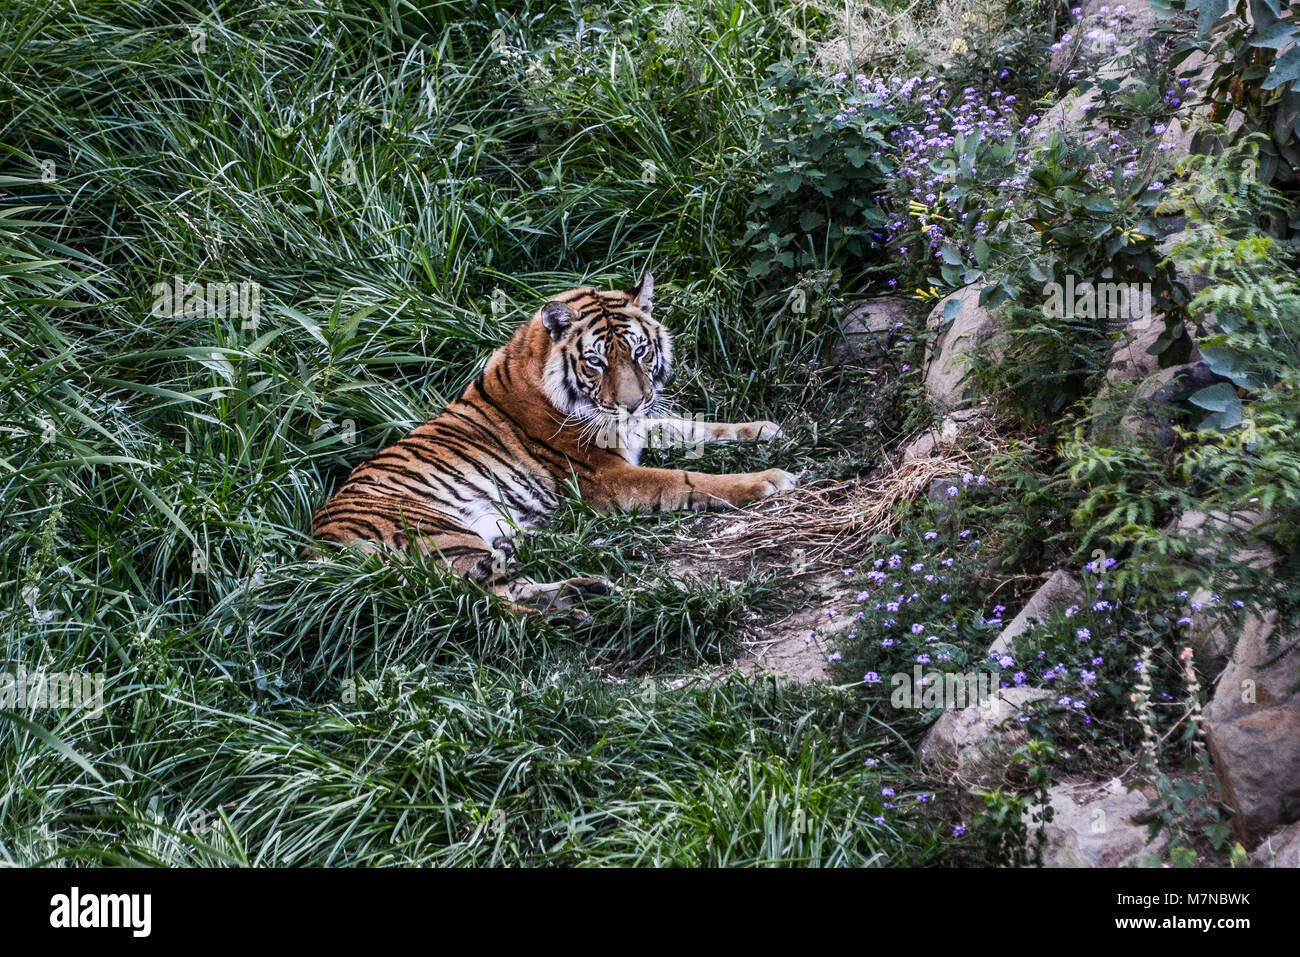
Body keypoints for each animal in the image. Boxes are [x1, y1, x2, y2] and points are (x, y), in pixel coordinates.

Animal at [309, 273, 798, 611]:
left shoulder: (635, 430)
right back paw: (570, 610)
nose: (633, 403)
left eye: (639, 351)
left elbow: (693, 427)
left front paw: (762, 428)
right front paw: (769, 479)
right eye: (597, 361)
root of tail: (316, 549)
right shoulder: (608, 478)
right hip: (440, 532)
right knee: (488, 604)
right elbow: (689, 478)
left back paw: (586, 591)